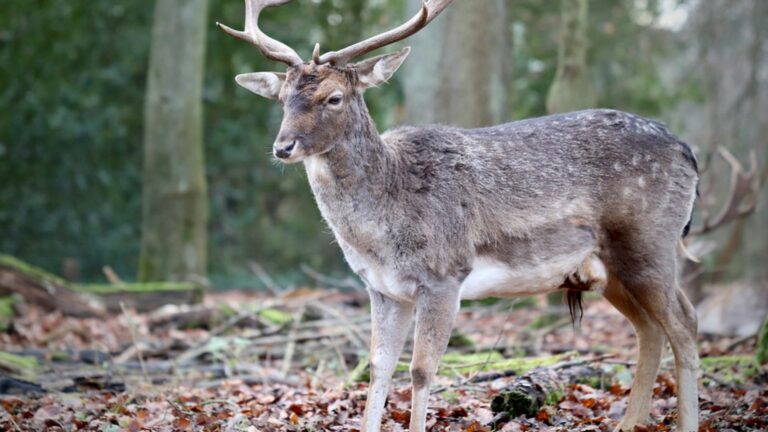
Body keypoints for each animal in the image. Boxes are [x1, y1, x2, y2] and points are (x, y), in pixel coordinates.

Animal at [218, 1, 700, 430]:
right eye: (283, 98)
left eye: (333, 97)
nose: (283, 147)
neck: (382, 230)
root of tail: (687, 151)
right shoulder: (382, 289)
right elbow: (378, 368)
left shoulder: (444, 275)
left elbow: (420, 370)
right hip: (608, 269)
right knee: (649, 330)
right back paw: (631, 423)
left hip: (649, 239)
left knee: (685, 324)